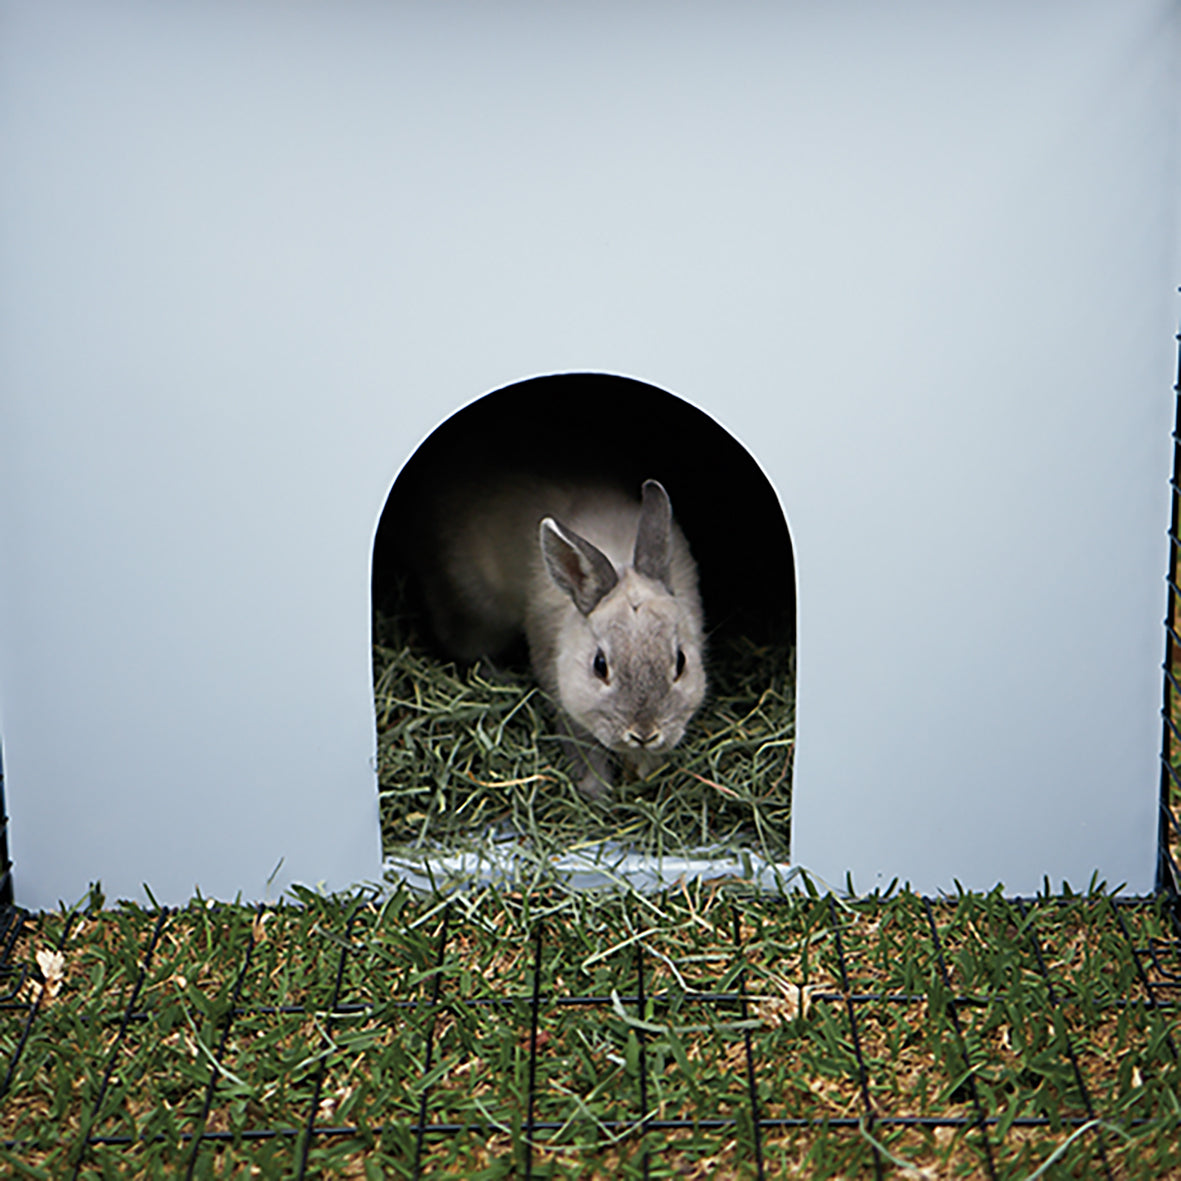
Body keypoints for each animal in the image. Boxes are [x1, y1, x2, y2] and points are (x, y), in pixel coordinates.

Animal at [400, 474, 707, 797]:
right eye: (599, 666)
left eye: (681, 662)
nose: (644, 732)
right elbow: (583, 748)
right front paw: (595, 792)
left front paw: (643, 770)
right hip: (473, 613)